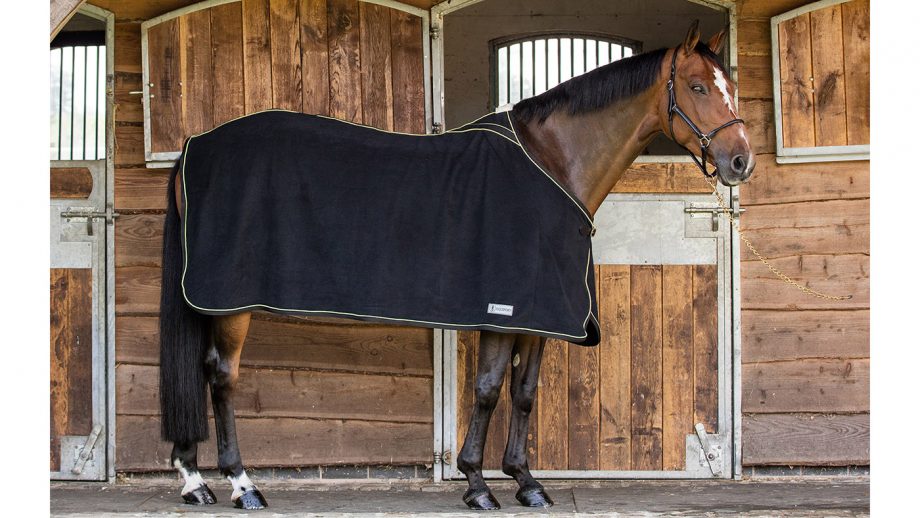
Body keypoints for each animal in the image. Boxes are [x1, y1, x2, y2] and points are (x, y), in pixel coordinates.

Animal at [158, 21, 754, 510]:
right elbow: (488, 388)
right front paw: (477, 483)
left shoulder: (537, 314)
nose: (741, 161)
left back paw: (194, 481)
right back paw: (241, 484)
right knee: (221, 377)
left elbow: (524, 393)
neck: (552, 163)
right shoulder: (501, 309)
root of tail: (194, 147)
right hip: (229, 302)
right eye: (698, 87)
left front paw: (526, 482)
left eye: (730, 84)